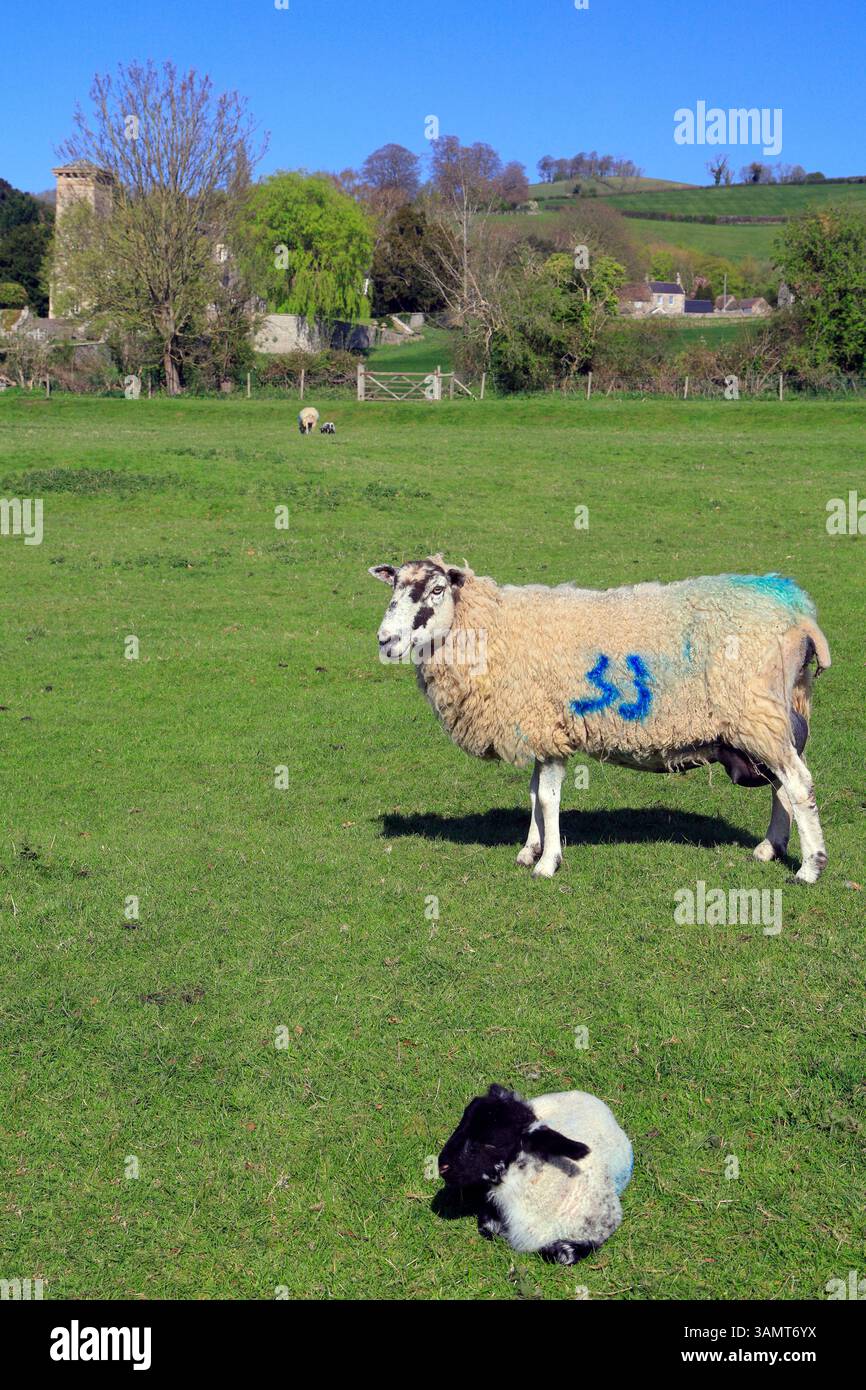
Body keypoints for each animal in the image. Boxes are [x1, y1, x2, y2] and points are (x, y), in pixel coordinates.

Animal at [369, 557, 831, 884]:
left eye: (437, 589)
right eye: (393, 587)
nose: (385, 640)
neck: (491, 628)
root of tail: (800, 614)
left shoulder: (550, 730)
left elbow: (548, 798)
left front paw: (548, 863)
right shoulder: (543, 729)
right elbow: (534, 794)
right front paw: (530, 850)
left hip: (756, 712)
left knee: (798, 784)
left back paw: (809, 867)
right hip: (772, 718)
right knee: (782, 785)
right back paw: (771, 848)